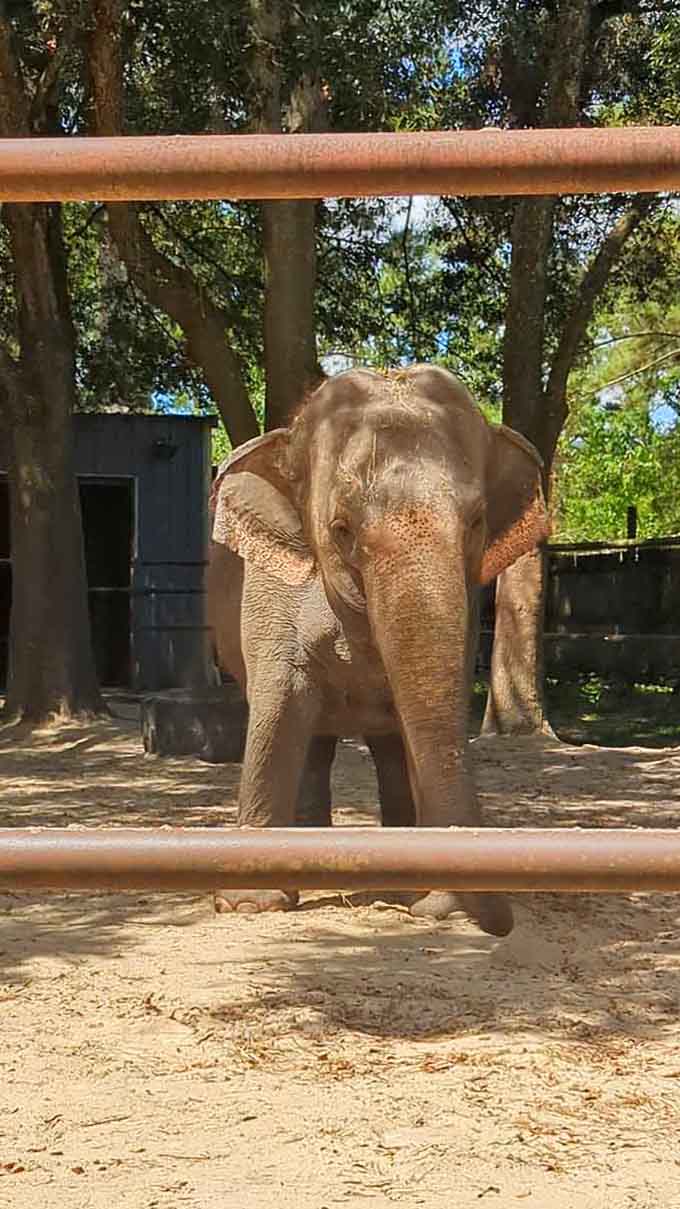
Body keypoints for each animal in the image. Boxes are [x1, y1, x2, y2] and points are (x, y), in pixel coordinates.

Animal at [207, 364, 549, 936]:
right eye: (341, 529)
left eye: (477, 522)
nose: (500, 926)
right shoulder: (270, 596)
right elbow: (278, 711)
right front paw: (248, 905)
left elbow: (425, 721)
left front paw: (438, 907)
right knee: (315, 742)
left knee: (385, 748)